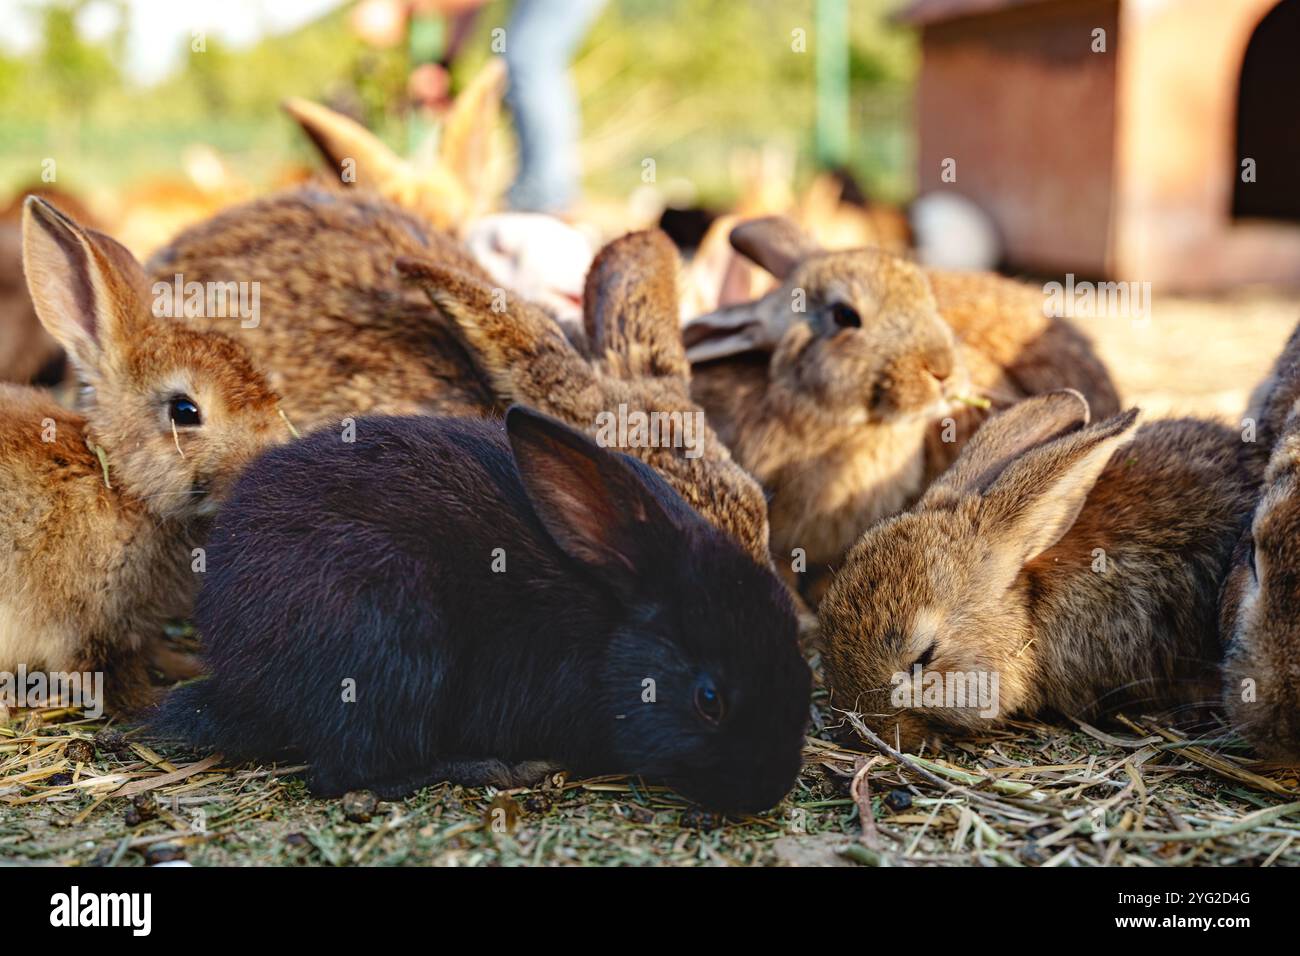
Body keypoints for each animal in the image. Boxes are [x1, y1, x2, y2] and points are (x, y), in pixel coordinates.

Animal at [1, 198, 286, 713]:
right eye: (184, 411)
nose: (269, 457)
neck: (120, 485)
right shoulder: (86, 629)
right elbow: (109, 680)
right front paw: (158, 697)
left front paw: (184, 666)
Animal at [156, 405, 812, 813]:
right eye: (709, 700)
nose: (769, 790)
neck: (612, 634)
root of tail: (240, 677)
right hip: (391, 639)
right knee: (347, 771)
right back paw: (496, 769)